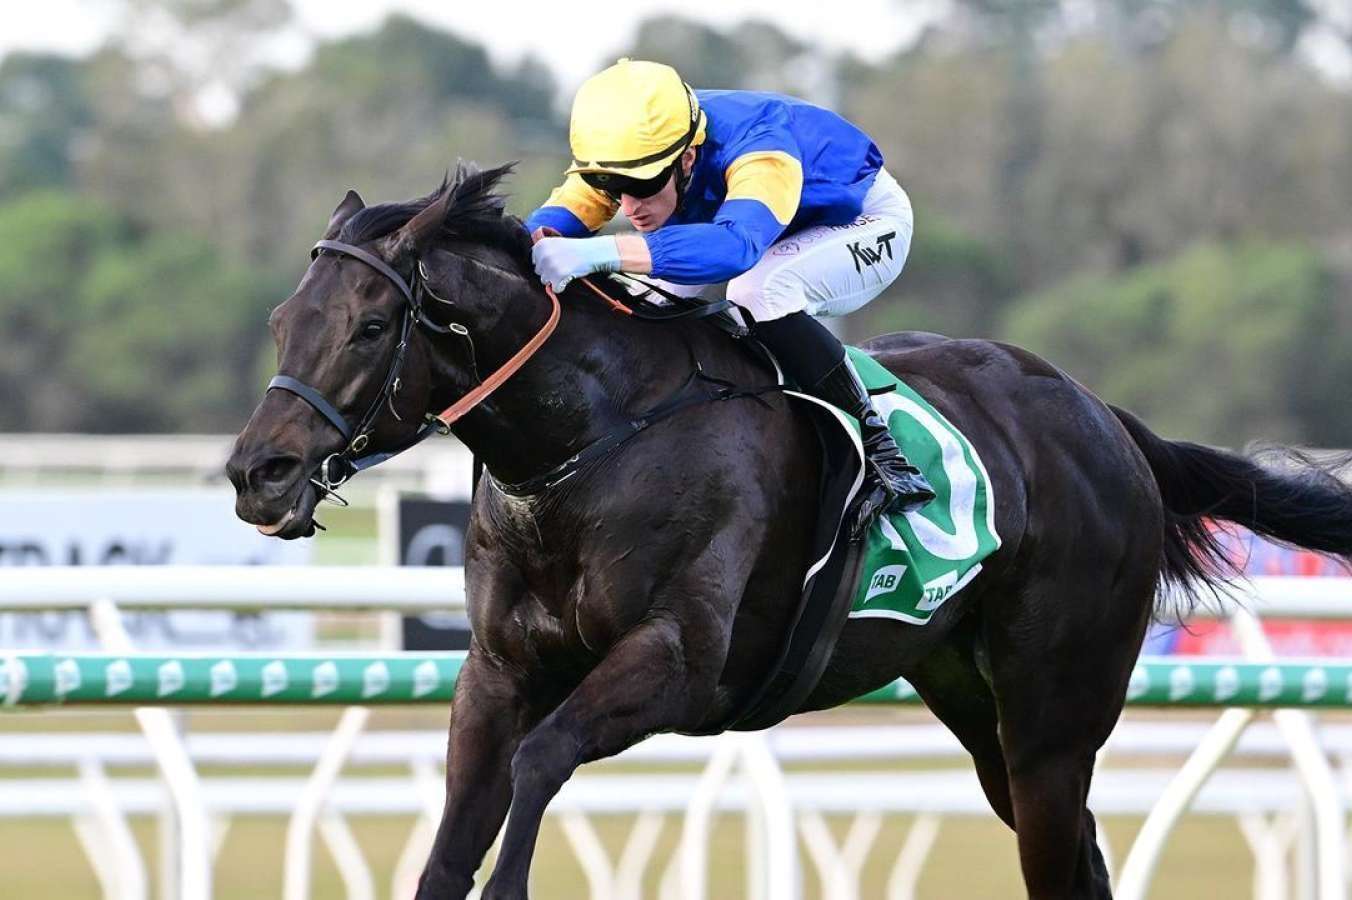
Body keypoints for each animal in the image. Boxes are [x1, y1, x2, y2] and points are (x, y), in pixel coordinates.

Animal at [225, 164, 1352, 899]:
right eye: (281, 321)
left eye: (373, 326)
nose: (255, 474)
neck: (591, 440)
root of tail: (1108, 422)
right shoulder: (497, 670)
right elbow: (459, 827)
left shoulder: (677, 667)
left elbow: (542, 762)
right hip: (970, 695)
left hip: (1053, 716)